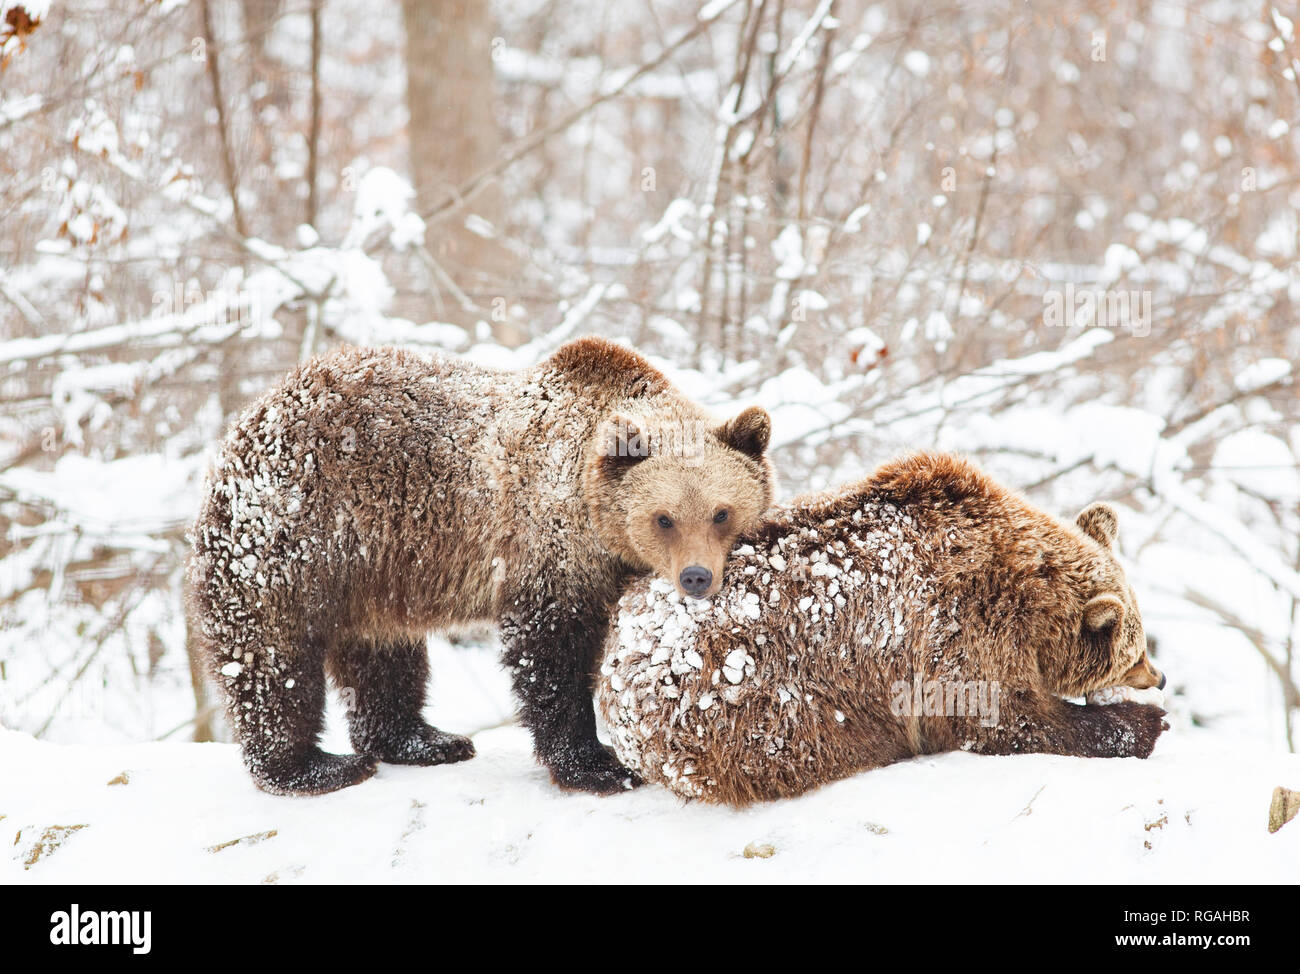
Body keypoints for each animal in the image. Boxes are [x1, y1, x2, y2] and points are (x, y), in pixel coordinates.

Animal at [187, 336, 775, 796]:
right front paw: (597, 764)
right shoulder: (545, 548)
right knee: (271, 653)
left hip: (375, 568)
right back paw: (313, 767)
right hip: (293, 534)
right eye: (664, 518)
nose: (696, 577)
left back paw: (426, 740)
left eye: (721, 512)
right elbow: (549, 655)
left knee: (382, 652)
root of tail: (248, 421)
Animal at [596, 451, 1168, 806]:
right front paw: (1145, 723)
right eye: (1135, 650)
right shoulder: (955, 630)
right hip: (756, 704)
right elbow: (1000, 719)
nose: (1159, 676)